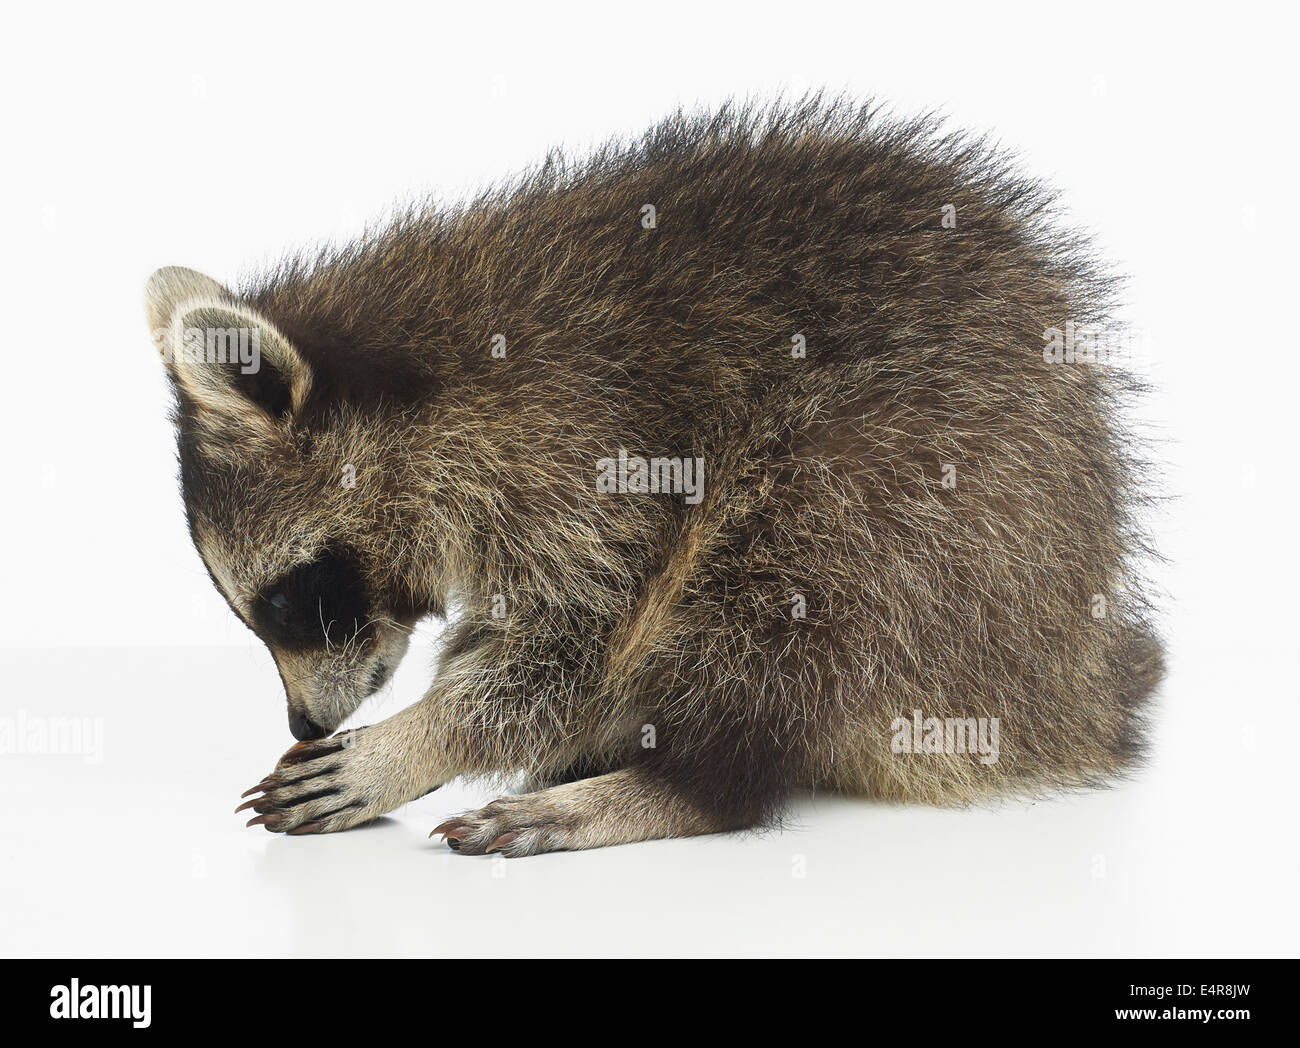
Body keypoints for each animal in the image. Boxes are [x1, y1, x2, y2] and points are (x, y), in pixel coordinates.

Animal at [145, 98, 1163, 857]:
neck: (425, 381)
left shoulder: (584, 445)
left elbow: (578, 633)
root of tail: (1067, 677)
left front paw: (423, 739)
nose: (302, 725)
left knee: (785, 571)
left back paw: (674, 786)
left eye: (290, 600)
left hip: (946, 515)